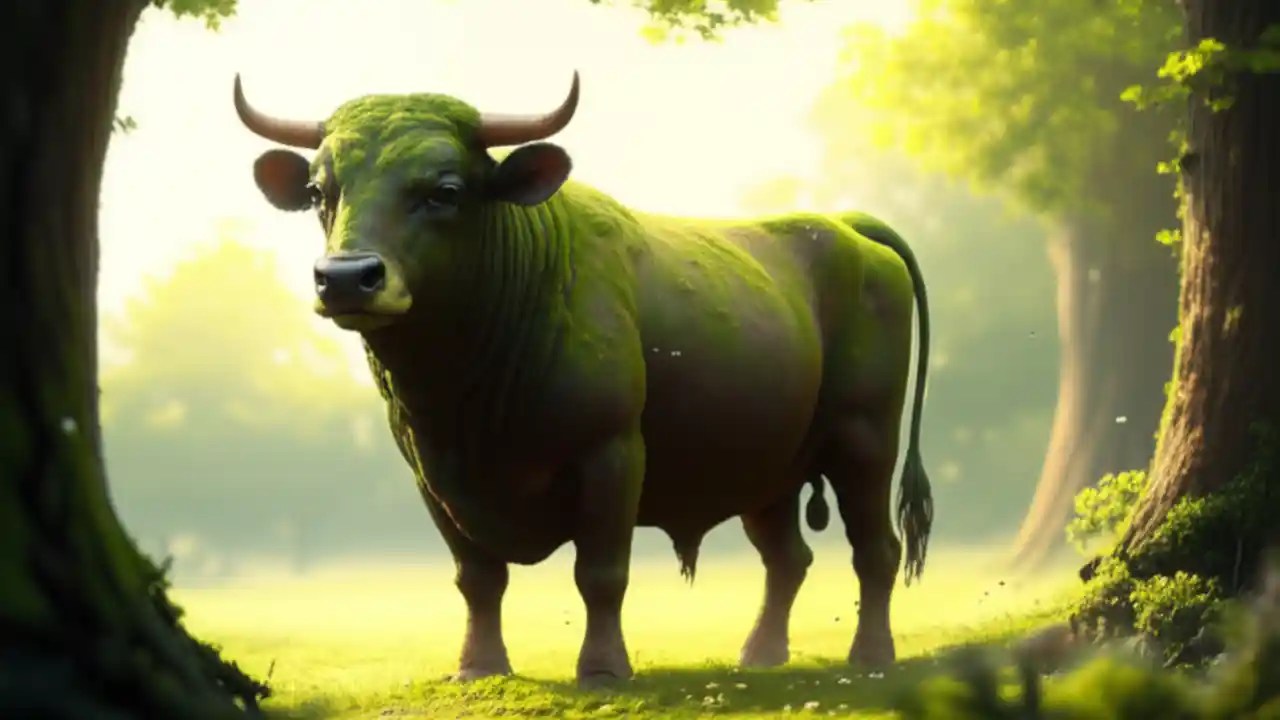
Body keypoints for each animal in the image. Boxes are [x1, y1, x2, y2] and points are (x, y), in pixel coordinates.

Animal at [233, 71, 935, 688]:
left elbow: (600, 573)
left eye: (445, 190)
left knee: (875, 550)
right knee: (787, 558)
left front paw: (601, 669)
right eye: (320, 192)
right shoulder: (432, 478)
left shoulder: (611, 453)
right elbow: (477, 578)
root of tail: (844, 228)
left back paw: (871, 655)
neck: (467, 394)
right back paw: (760, 656)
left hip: (865, 441)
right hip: (768, 467)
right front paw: (478, 666)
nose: (346, 279)